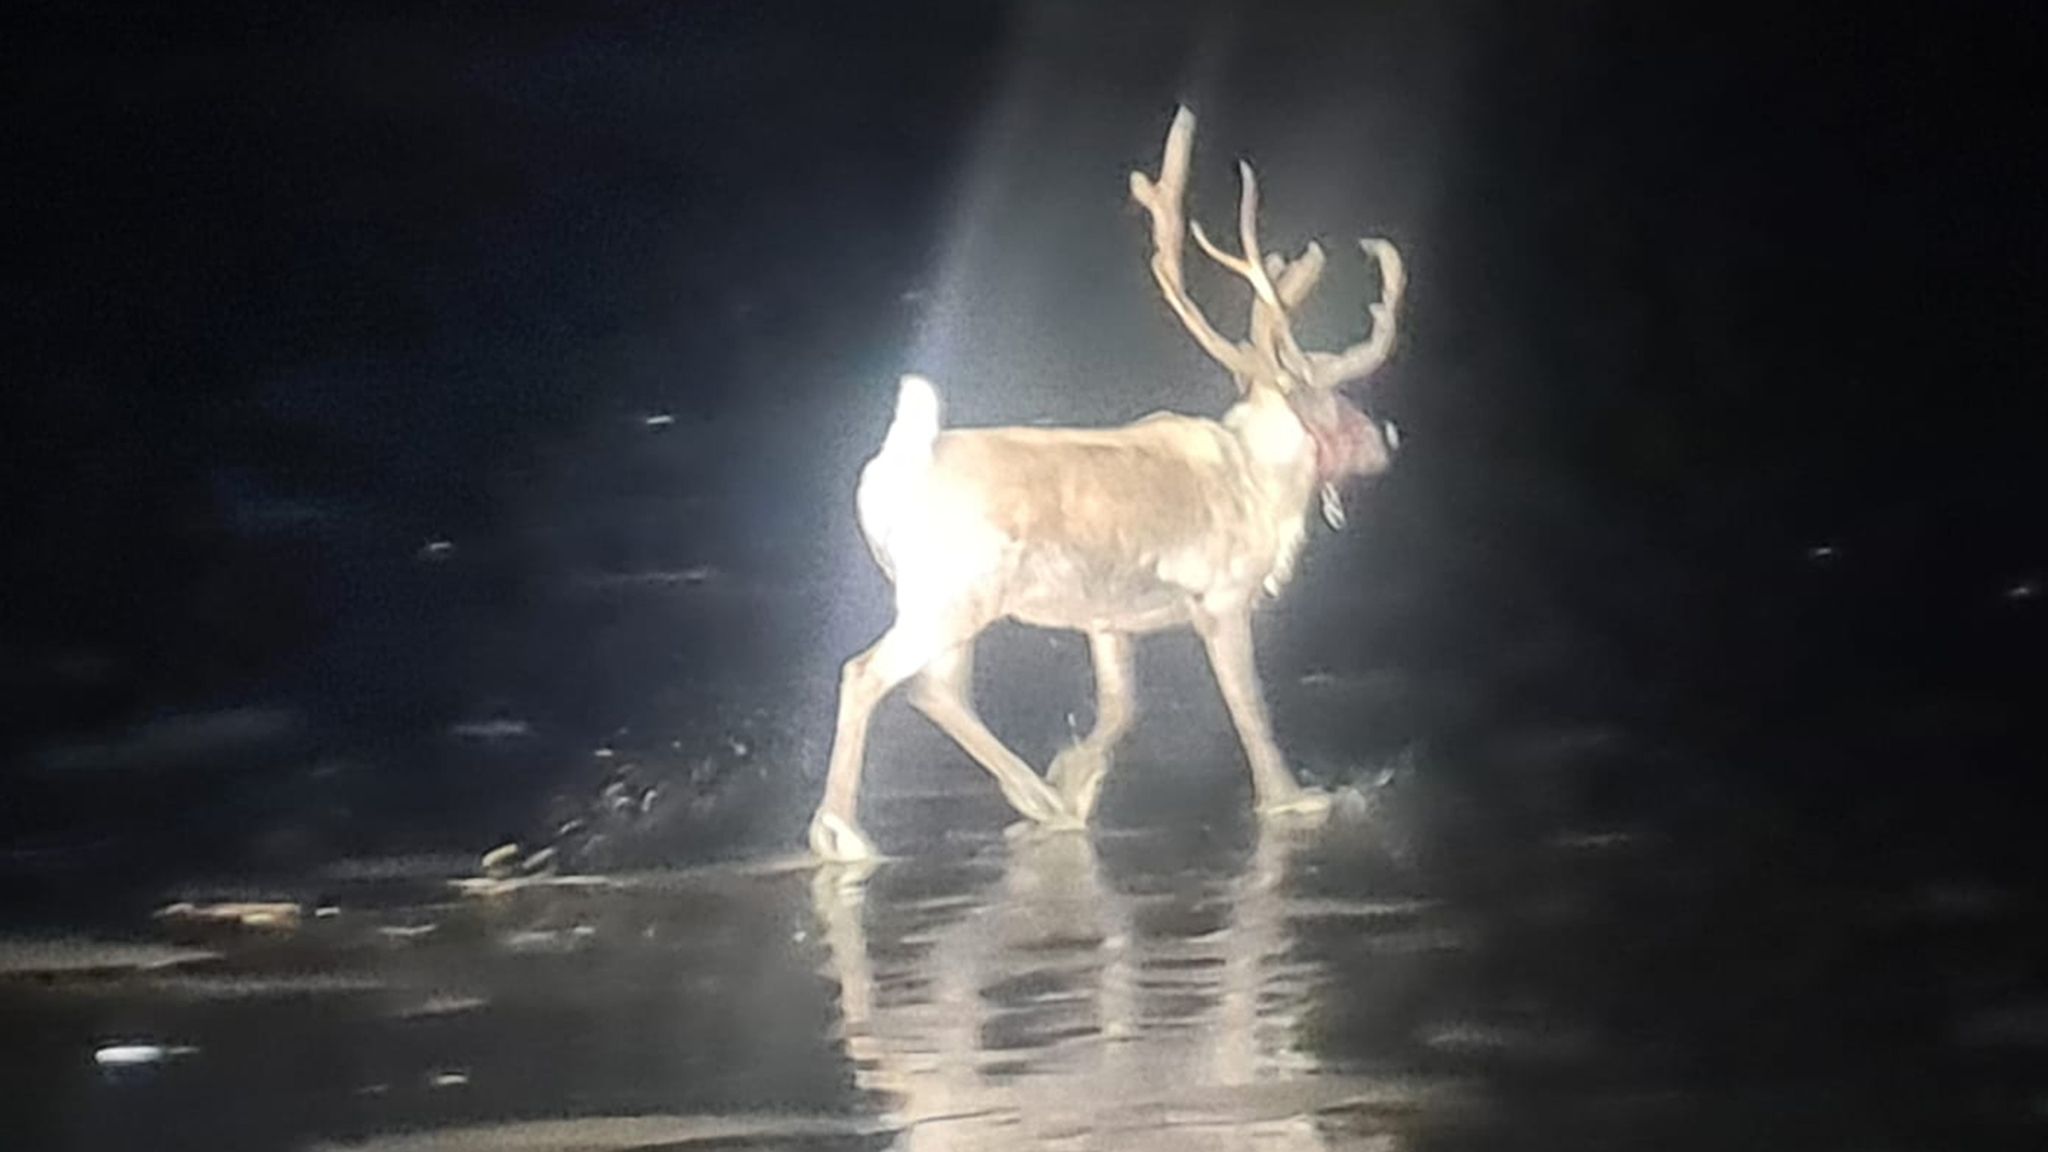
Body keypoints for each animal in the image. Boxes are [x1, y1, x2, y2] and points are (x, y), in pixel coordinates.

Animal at [809, 105, 1407, 862]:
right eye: (1341, 399)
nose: (1386, 441)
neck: (1263, 482)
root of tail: (888, 472)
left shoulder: (1108, 617)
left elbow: (1122, 707)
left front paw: (1076, 776)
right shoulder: (1222, 597)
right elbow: (1250, 707)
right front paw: (1293, 797)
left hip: (947, 601)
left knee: (935, 691)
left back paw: (1039, 797)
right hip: (952, 594)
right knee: (870, 674)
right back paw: (844, 831)